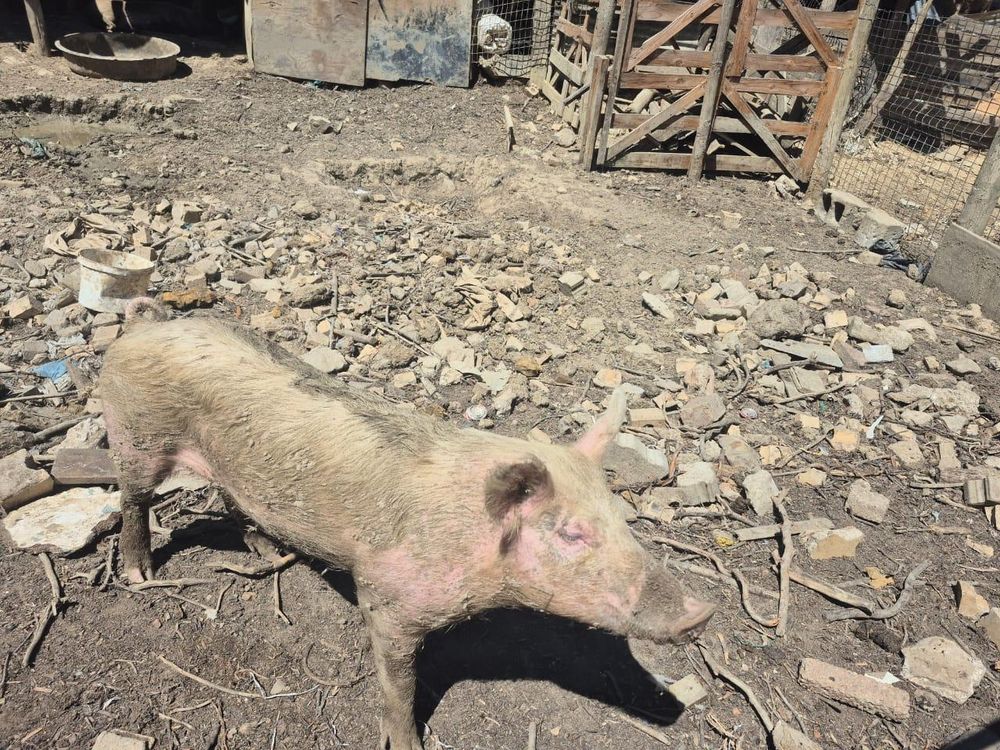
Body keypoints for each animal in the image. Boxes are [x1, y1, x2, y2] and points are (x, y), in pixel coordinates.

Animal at [100, 303, 715, 750]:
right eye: (570, 532)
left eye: (621, 518)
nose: (701, 613)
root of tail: (148, 323)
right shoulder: (385, 596)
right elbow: (399, 685)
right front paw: (408, 743)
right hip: (135, 435)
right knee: (133, 501)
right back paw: (139, 575)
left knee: (232, 497)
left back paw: (270, 554)